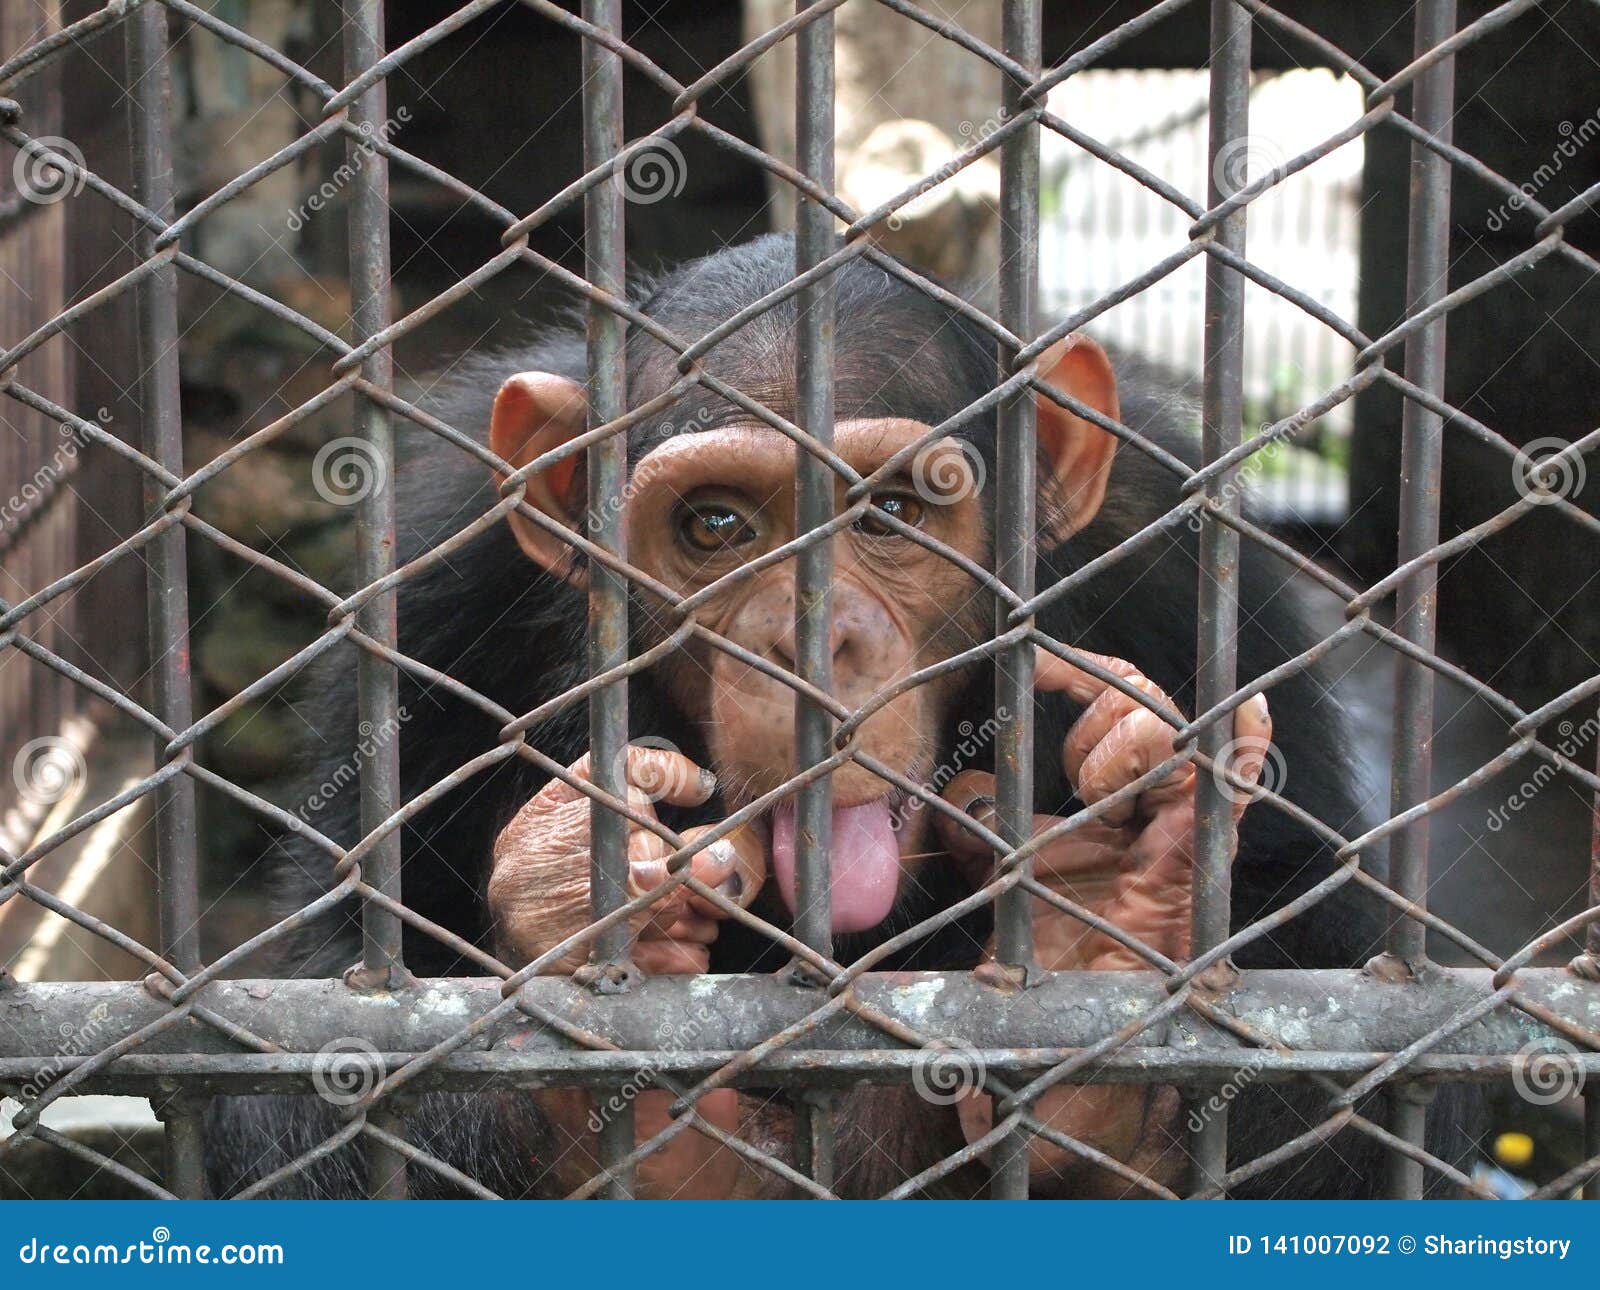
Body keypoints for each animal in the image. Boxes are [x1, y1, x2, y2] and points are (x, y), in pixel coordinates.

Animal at [207, 233, 1479, 1198]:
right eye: (717, 526)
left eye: (891, 514)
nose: (811, 642)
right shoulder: (436, 578)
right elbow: (332, 1019)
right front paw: (579, 895)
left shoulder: (1183, 551)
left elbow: (1329, 985)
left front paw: (1110, 910)